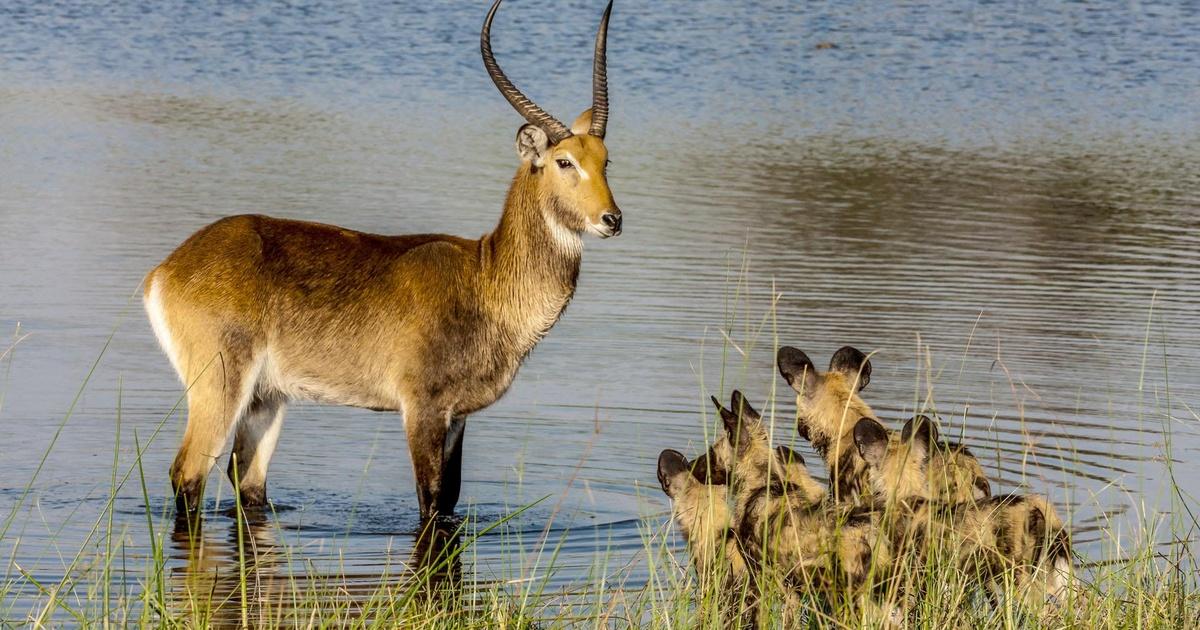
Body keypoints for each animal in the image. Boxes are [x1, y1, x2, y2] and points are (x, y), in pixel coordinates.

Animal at [143, 0, 622, 521]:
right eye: (564, 162)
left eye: (605, 161)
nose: (612, 219)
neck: (485, 278)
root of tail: (166, 269)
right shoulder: (422, 409)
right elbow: (430, 502)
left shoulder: (458, 418)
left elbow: (448, 499)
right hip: (220, 388)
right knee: (188, 474)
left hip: (265, 399)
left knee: (247, 483)